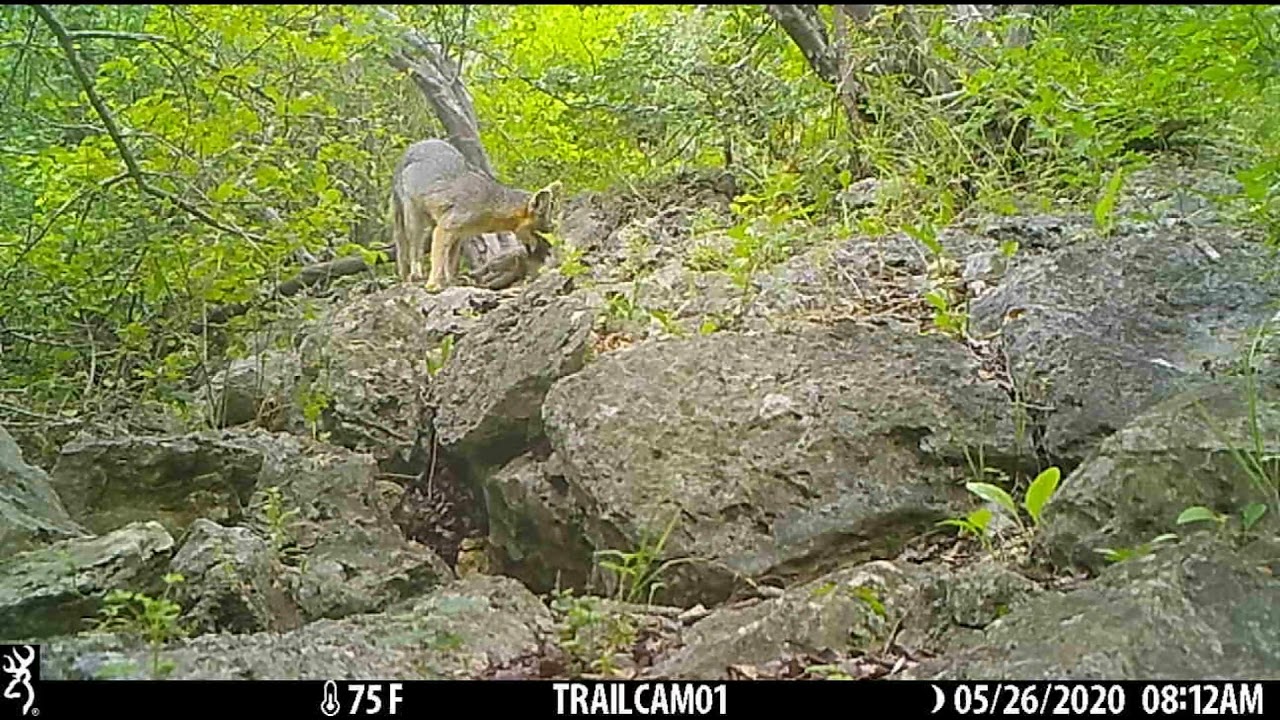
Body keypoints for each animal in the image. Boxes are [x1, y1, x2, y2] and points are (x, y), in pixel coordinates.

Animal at [389, 138, 560, 292]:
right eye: (543, 229)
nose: (553, 229)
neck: (491, 204)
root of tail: (411, 148)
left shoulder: (457, 235)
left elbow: (450, 261)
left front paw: (451, 281)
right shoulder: (445, 228)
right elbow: (438, 259)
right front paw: (433, 284)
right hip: (414, 220)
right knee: (413, 250)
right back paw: (415, 275)